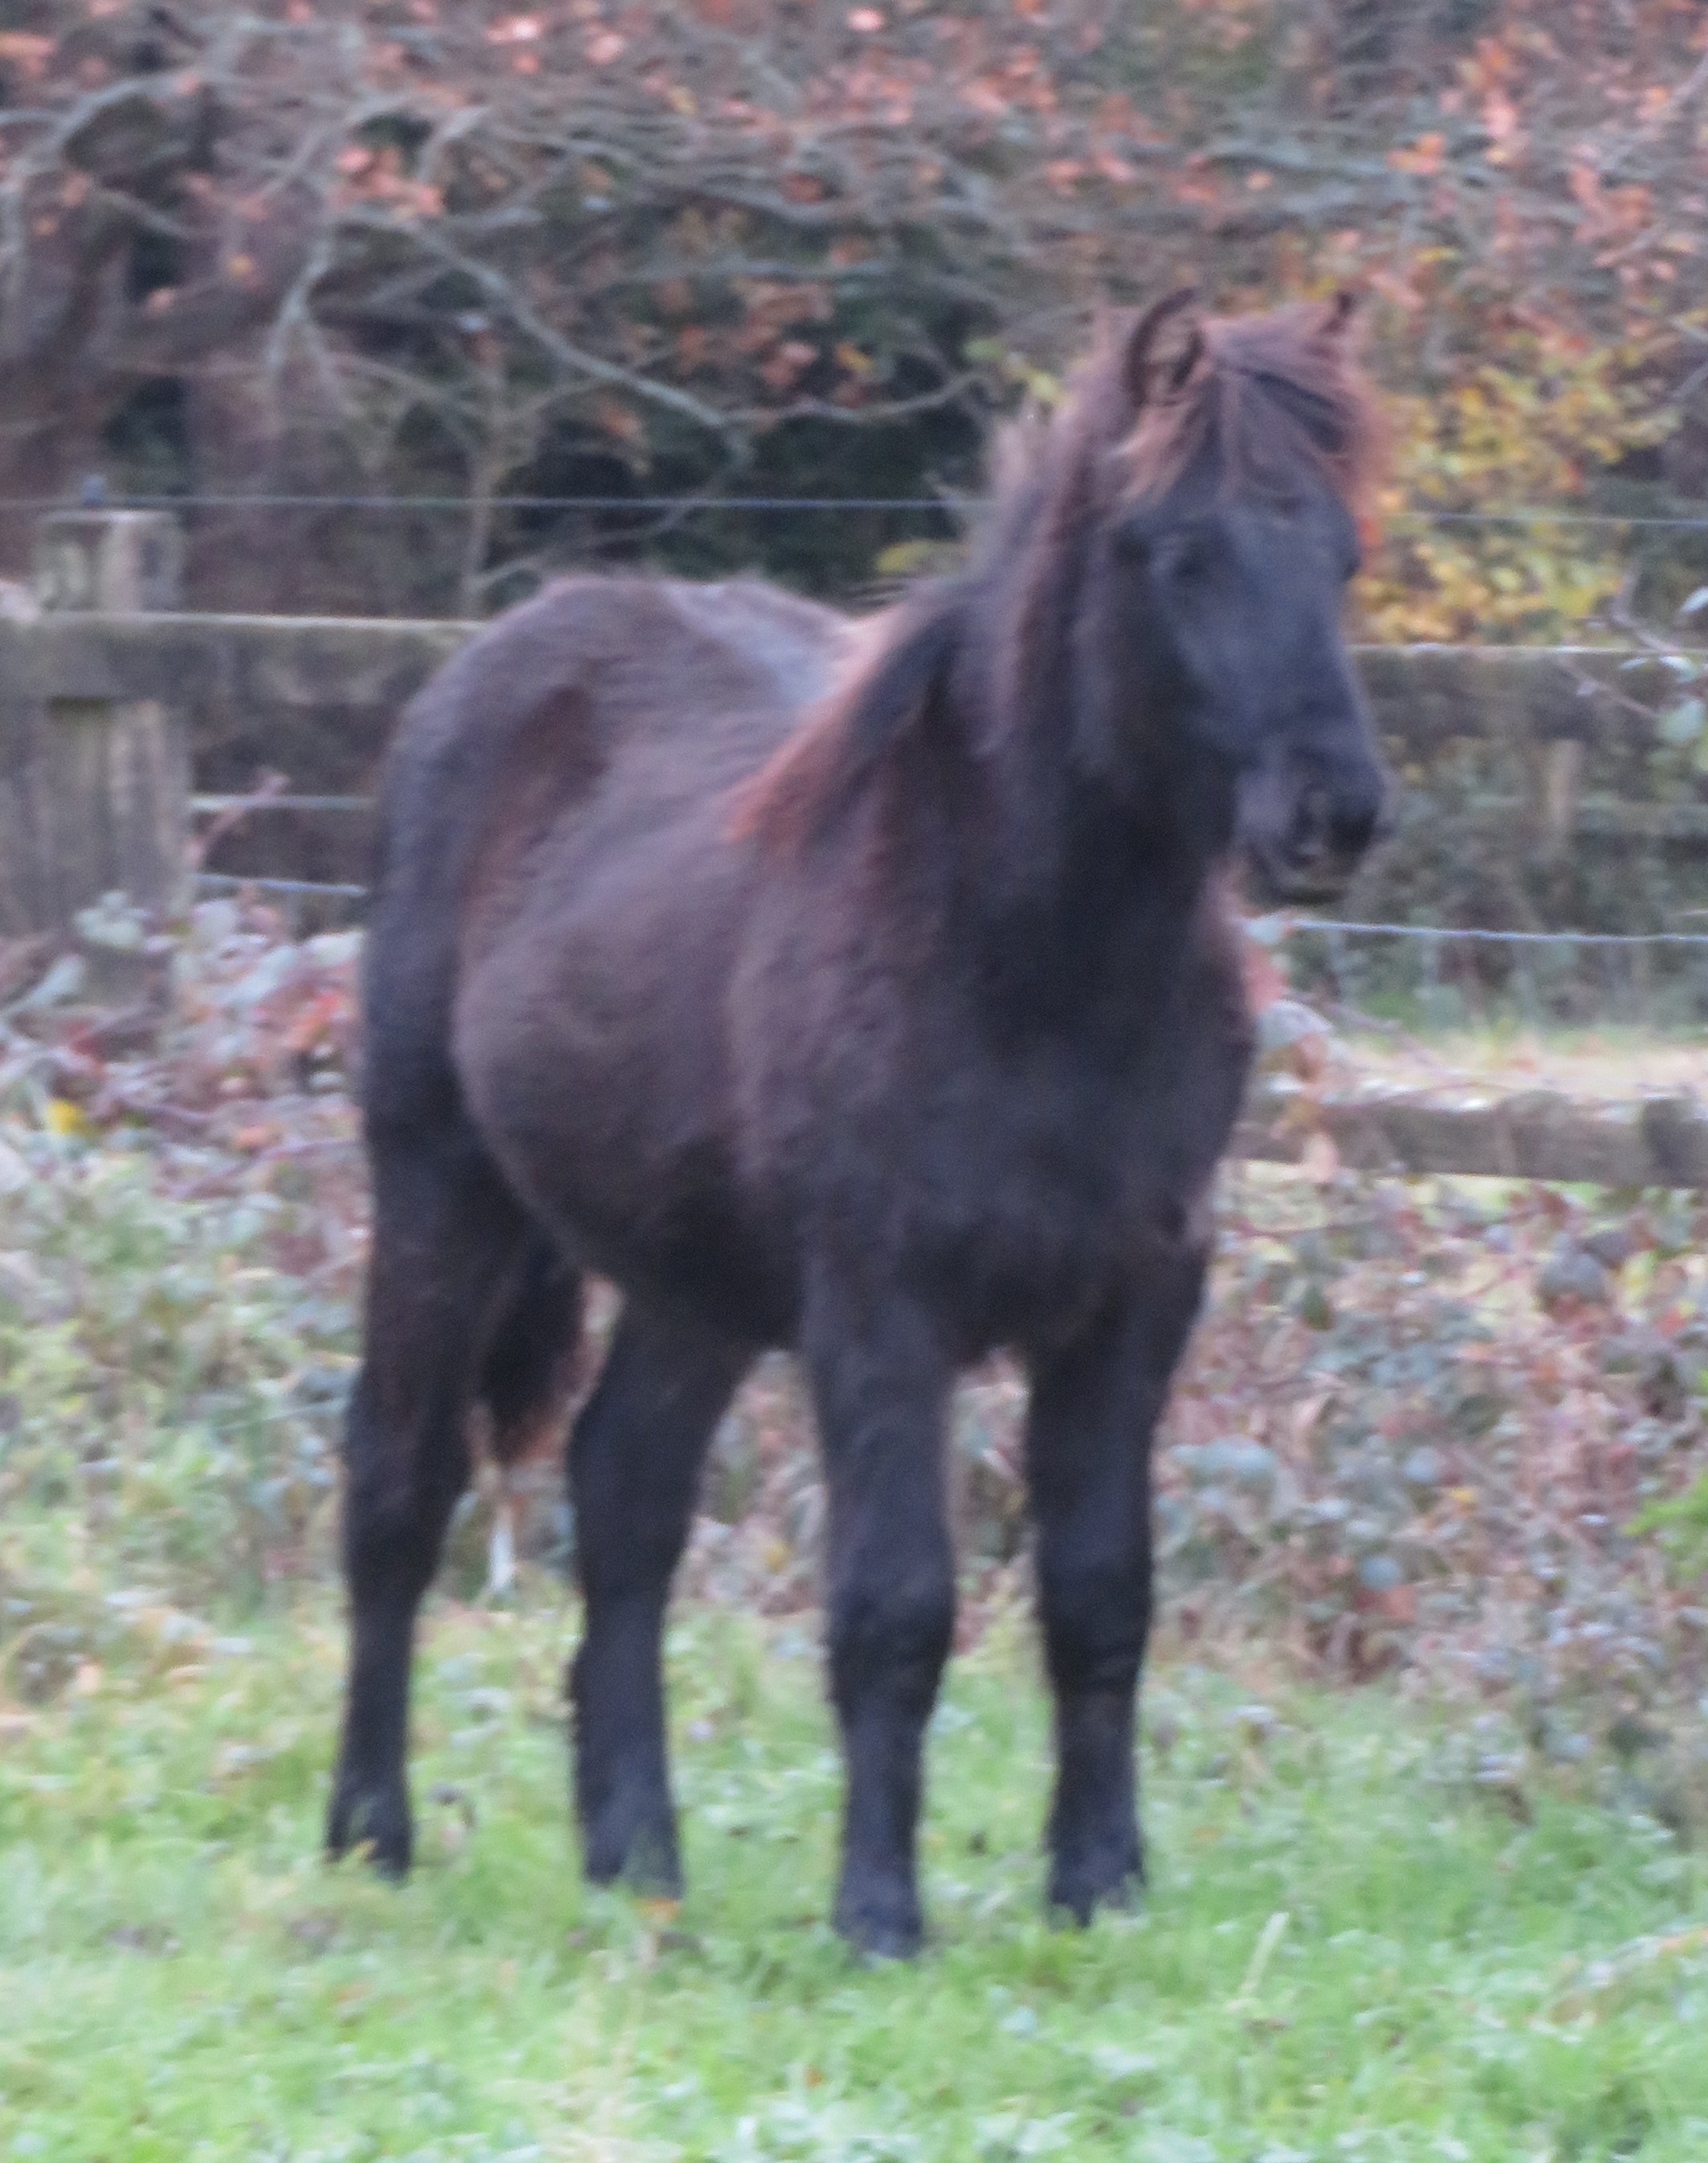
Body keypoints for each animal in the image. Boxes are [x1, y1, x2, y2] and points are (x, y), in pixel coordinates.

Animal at [328, 288, 1389, 1956]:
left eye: (1340, 551)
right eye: (1180, 551)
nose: (1332, 813)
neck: (1027, 954)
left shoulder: (1137, 1298)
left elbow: (1102, 1595)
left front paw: (1100, 1884)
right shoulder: (884, 1305)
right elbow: (895, 1604)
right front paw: (879, 1911)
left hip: (693, 1278)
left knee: (623, 1493)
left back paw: (636, 1853)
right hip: (438, 1184)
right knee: (397, 1479)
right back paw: (369, 1831)